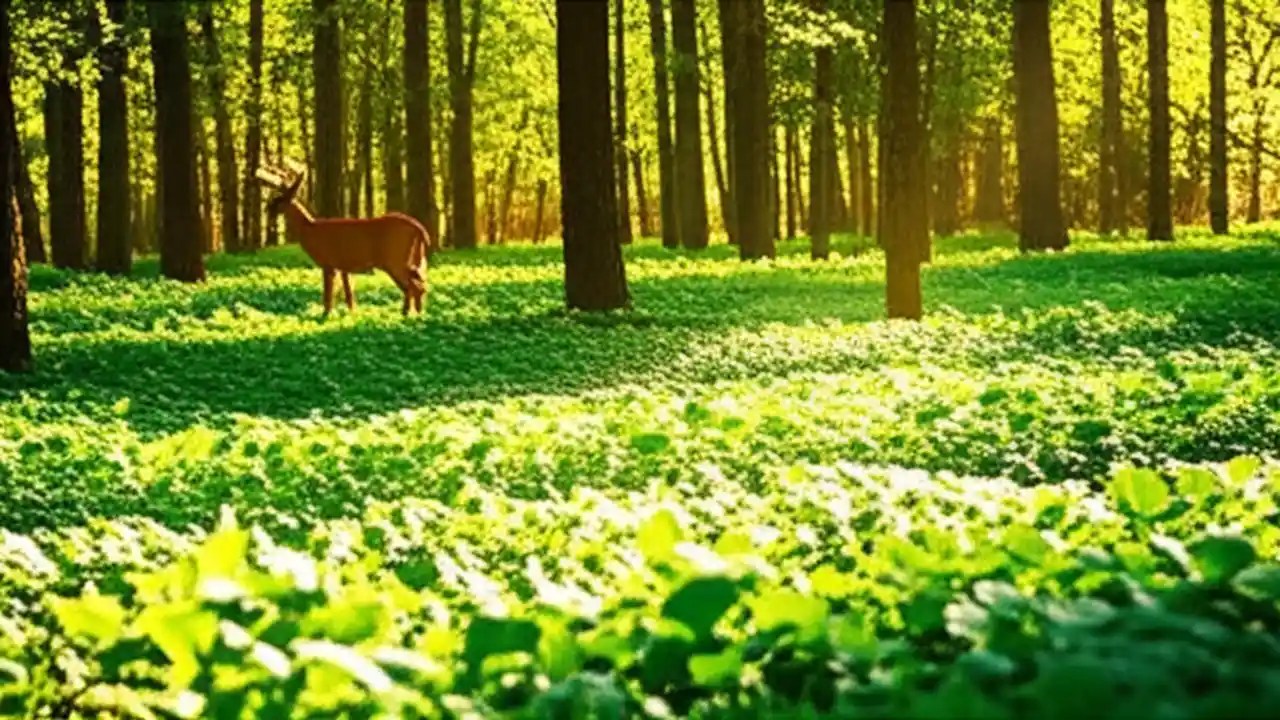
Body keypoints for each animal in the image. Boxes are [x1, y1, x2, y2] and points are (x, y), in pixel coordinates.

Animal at [257, 162, 432, 317]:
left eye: (278, 200)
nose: (267, 209)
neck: (310, 229)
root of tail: (419, 228)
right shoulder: (344, 265)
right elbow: (349, 294)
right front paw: (352, 313)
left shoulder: (329, 262)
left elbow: (328, 293)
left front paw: (326, 315)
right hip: (410, 259)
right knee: (419, 283)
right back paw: (417, 313)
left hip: (395, 258)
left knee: (414, 287)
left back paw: (408, 314)